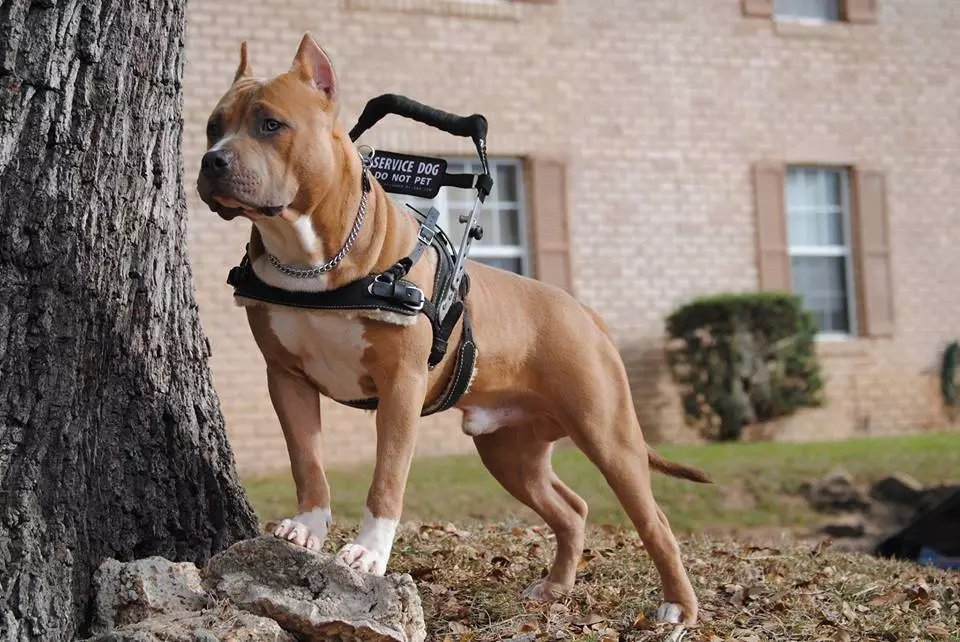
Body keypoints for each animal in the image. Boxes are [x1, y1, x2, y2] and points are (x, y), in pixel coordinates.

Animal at [197, 32, 712, 624]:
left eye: (270, 124)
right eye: (213, 126)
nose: (211, 160)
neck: (314, 261)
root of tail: (585, 312)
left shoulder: (400, 385)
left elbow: (388, 476)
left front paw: (368, 554)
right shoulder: (286, 378)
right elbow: (307, 460)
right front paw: (306, 527)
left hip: (608, 436)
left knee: (655, 521)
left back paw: (677, 608)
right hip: (511, 453)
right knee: (572, 508)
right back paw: (556, 589)